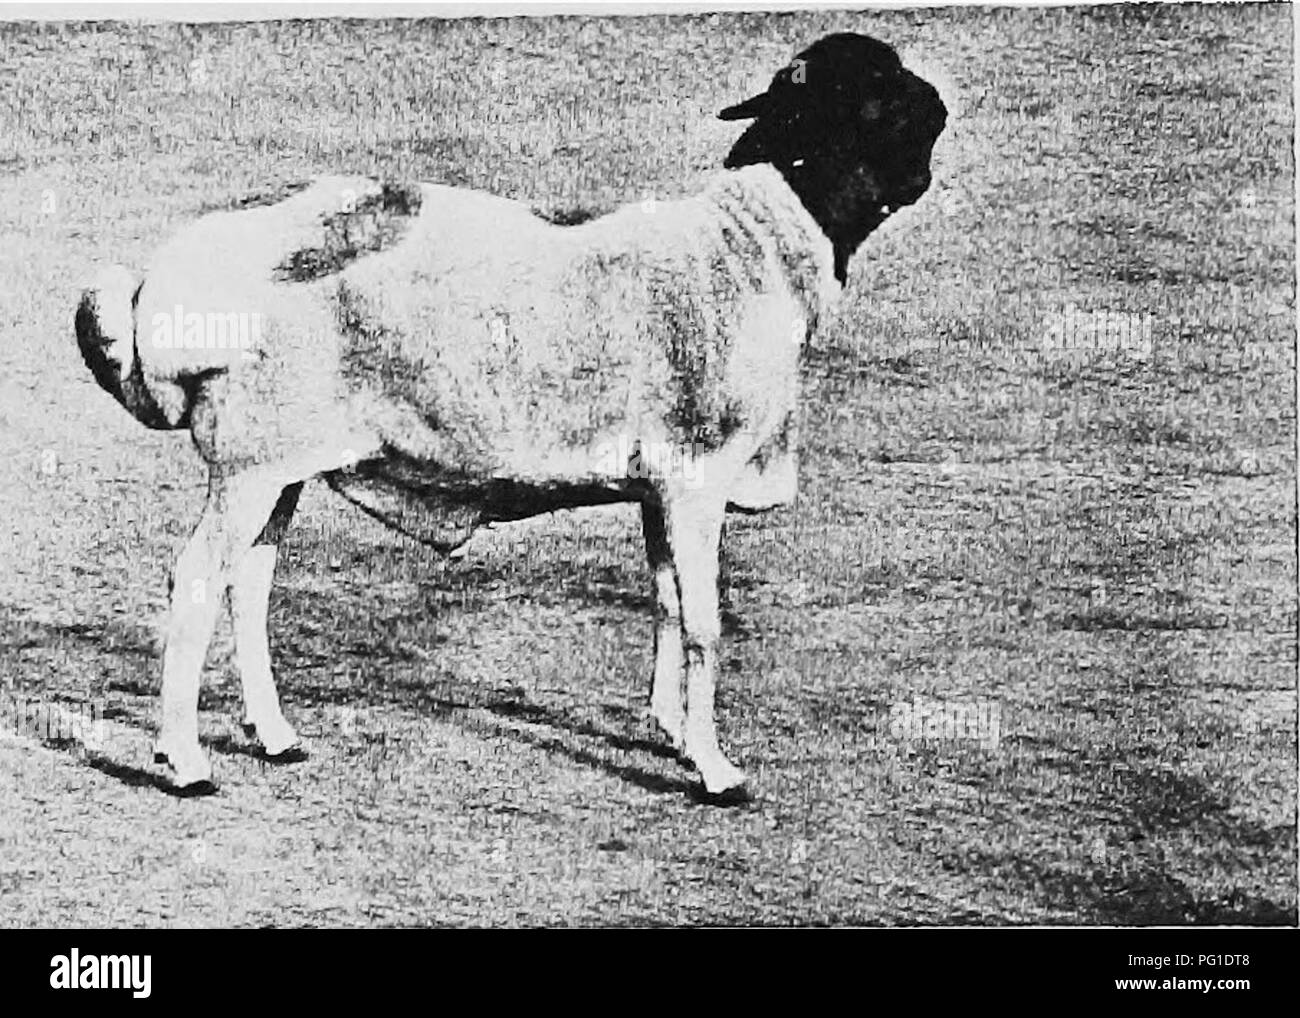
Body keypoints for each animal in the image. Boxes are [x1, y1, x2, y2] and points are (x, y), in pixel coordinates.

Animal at [74, 32, 947, 800]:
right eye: (874, 93)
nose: (940, 107)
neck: (749, 239)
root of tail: (161, 283)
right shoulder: (695, 479)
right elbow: (703, 621)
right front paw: (715, 770)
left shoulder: (659, 491)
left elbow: (666, 601)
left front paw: (668, 732)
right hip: (251, 465)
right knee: (196, 580)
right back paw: (184, 762)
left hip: (278, 462)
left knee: (247, 586)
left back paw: (276, 737)